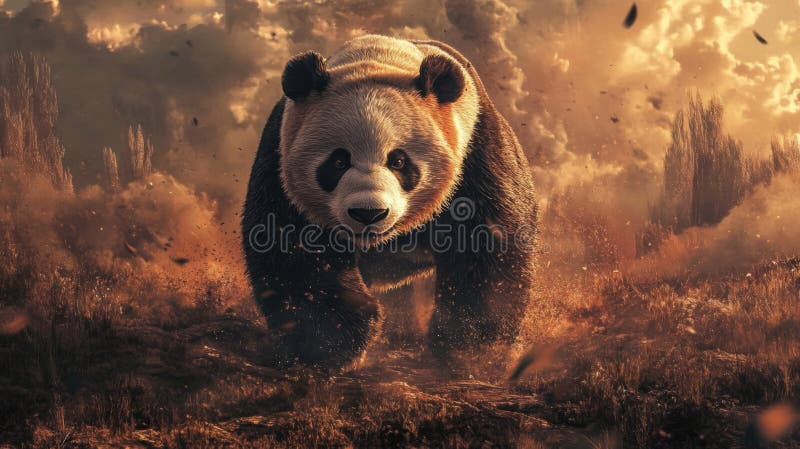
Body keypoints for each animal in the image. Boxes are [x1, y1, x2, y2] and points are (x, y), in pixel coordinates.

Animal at [242, 35, 537, 370]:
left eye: (398, 161)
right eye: (338, 161)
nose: (368, 213)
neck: (378, 60)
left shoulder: (475, 153)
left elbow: (486, 246)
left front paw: (469, 346)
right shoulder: (281, 159)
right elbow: (292, 251)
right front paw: (336, 339)